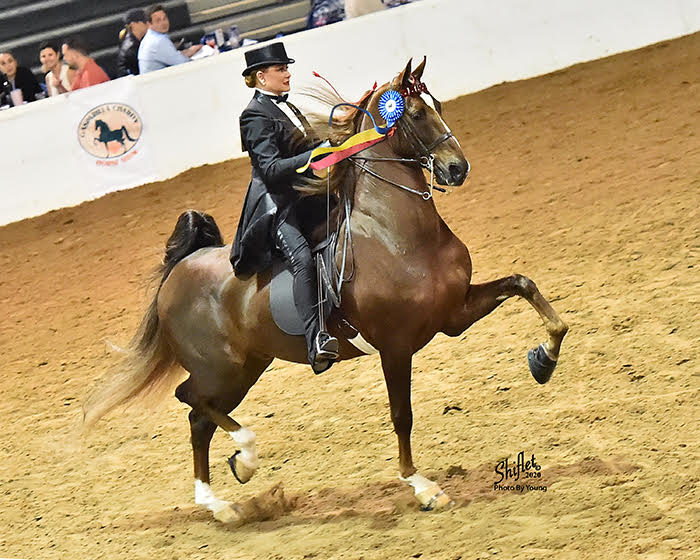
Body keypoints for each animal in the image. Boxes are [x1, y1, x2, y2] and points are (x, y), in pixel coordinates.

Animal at [83, 58, 568, 522]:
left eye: (440, 107)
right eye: (413, 114)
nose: (457, 168)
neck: (397, 235)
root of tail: (180, 268)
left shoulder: (453, 314)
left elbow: (524, 286)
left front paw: (543, 360)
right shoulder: (395, 346)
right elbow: (402, 415)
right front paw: (423, 487)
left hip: (246, 368)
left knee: (199, 420)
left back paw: (223, 503)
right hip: (220, 367)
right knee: (191, 400)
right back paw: (245, 458)